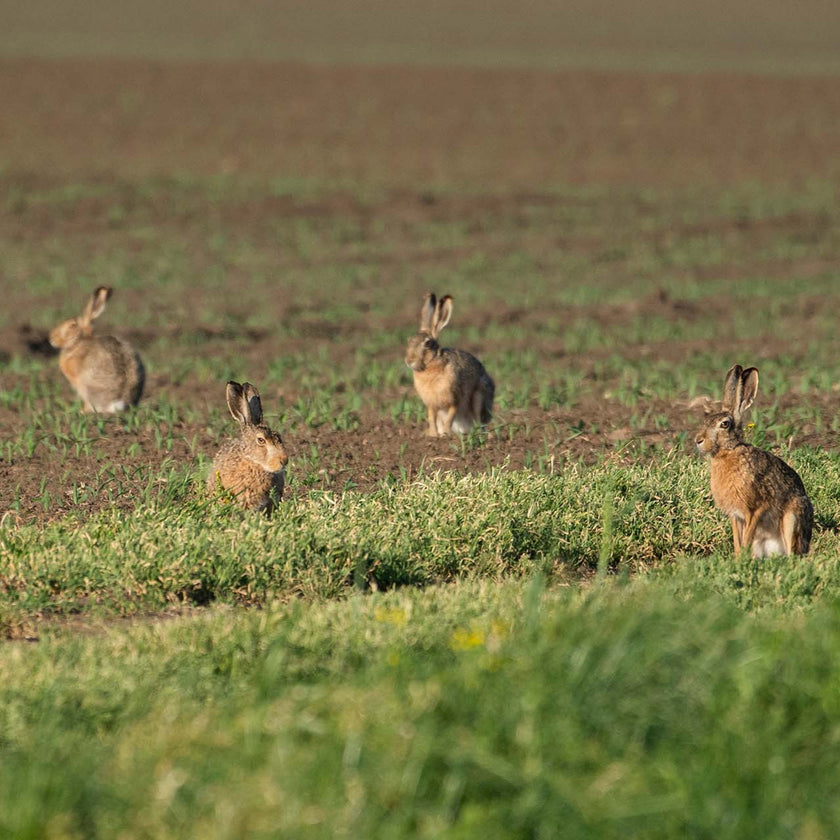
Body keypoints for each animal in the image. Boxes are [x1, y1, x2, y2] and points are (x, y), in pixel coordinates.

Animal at [404, 292, 494, 437]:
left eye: (427, 343)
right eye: (409, 340)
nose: (409, 361)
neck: (431, 364)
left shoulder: (454, 399)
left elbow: (450, 417)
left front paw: (445, 435)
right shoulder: (432, 404)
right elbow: (431, 417)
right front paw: (433, 435)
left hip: (479, 398)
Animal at [694, 364, 812, 557]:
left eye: (724, 424)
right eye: (706, 420)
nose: (698, 440)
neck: (729, 452)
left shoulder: (756, 509)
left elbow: (747, 538)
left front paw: (741, 559)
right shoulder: (736, 516)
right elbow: (738, 540)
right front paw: (737, 558)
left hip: (792, 518)